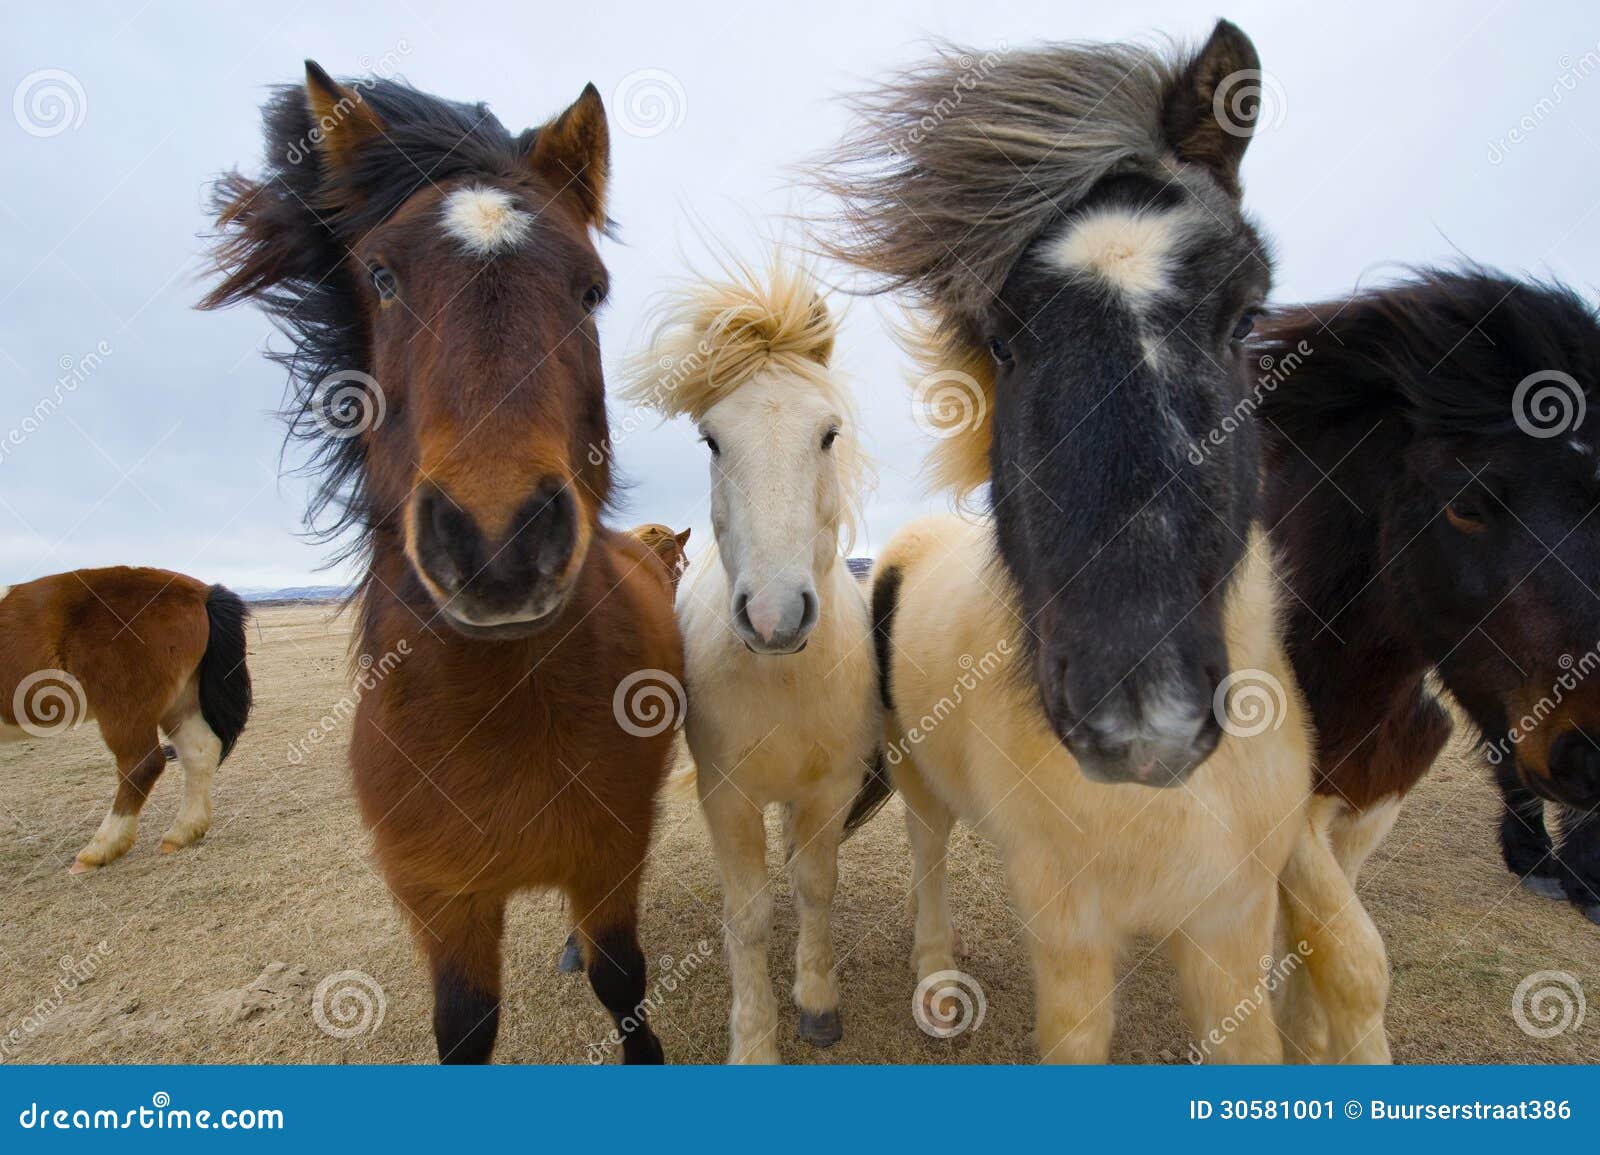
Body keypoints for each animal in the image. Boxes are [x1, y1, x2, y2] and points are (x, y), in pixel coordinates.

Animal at [0, 568, 251, 872]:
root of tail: (202, 591)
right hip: (180, 700)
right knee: (199, 751)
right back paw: (181, 833)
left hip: (124, 707)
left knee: (142, 764)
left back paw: (100, 849)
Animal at [203, 64, 683, 1063]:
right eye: (381, 276)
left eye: (591, 289)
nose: (499, 539)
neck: (502, 704)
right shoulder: (440, 898)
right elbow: (465, 1026)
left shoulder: (611, 852)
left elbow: (625, 982)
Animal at [621, 258, 883, 1062]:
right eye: (710, 440)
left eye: (828, 433)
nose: (774, 615)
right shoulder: (726, 796)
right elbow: (748, 916)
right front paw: (755, 1038)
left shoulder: (829, 789)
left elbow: (815, 885)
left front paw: (817, 999)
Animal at [814, 21, 1390, 1062]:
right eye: (1002, 343)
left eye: (1248, 317)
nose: (1143, 720)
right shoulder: (1070, 935)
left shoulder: (1233, 923)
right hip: (918, 777)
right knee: (927, 855)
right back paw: (938, 984)